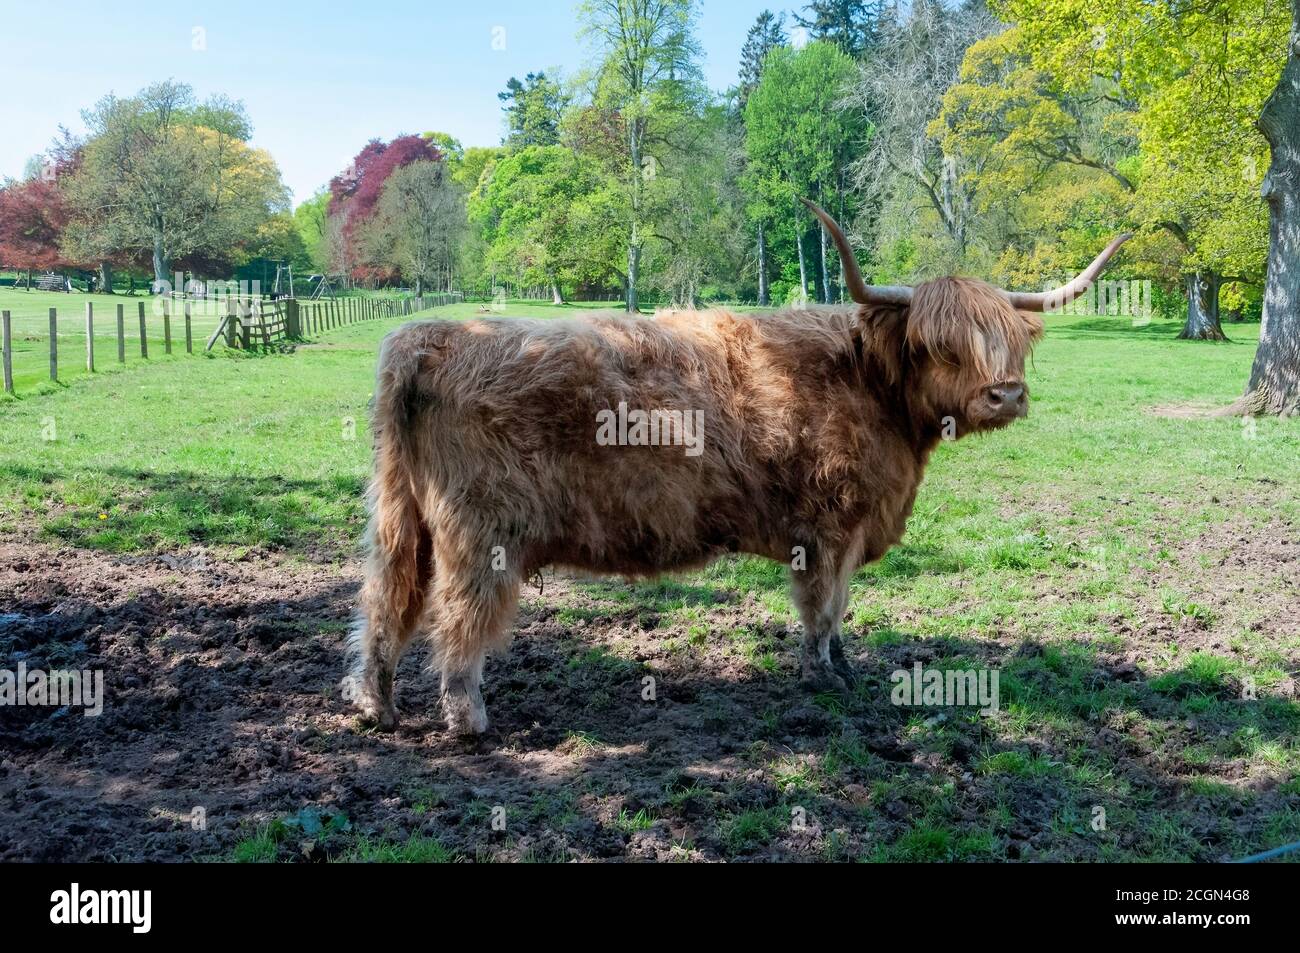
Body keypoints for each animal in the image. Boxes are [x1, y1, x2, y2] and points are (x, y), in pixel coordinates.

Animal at [344, 201, 1130, 735]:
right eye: (942, 345)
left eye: (1008, 340)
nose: (1008, 394)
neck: (870, 387)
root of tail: (425, 338)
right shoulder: (827, 527)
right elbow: (823, 607)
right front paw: (822, 675)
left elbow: (839, 609)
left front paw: (842, 666)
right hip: (483, 535)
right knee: (459, 622)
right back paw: (468, 718)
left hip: (403, 518)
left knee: (385, 605)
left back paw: (377, 706)